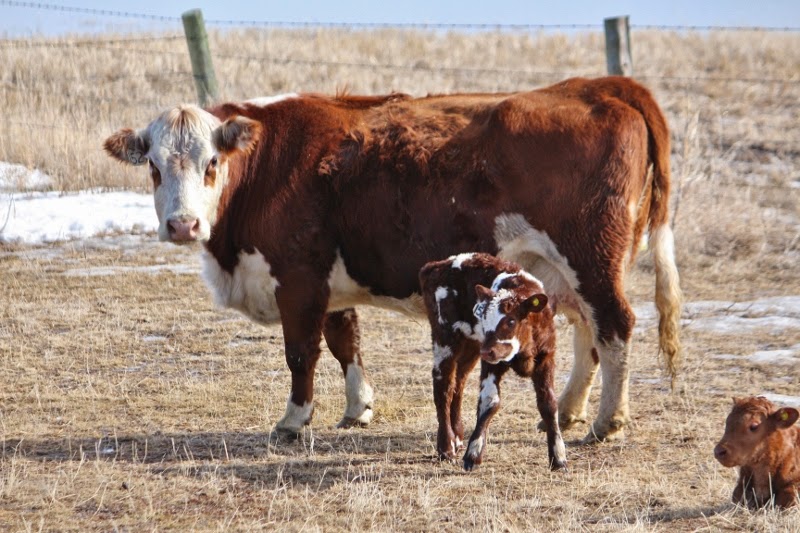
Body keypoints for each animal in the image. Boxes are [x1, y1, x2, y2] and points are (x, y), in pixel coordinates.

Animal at [419, 252, 564, 470]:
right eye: (483, 319)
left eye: (511, 321)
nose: (488, 350)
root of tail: (436, 265)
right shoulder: (492, 363)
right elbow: (490, 402)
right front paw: (473, 454)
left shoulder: (546, 357)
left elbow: (548, 403)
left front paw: (558, 457)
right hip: (445, 336)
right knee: (443, 386)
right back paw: (446, 447)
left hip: (471, 346)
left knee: (458, 382)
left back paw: (457, 437)